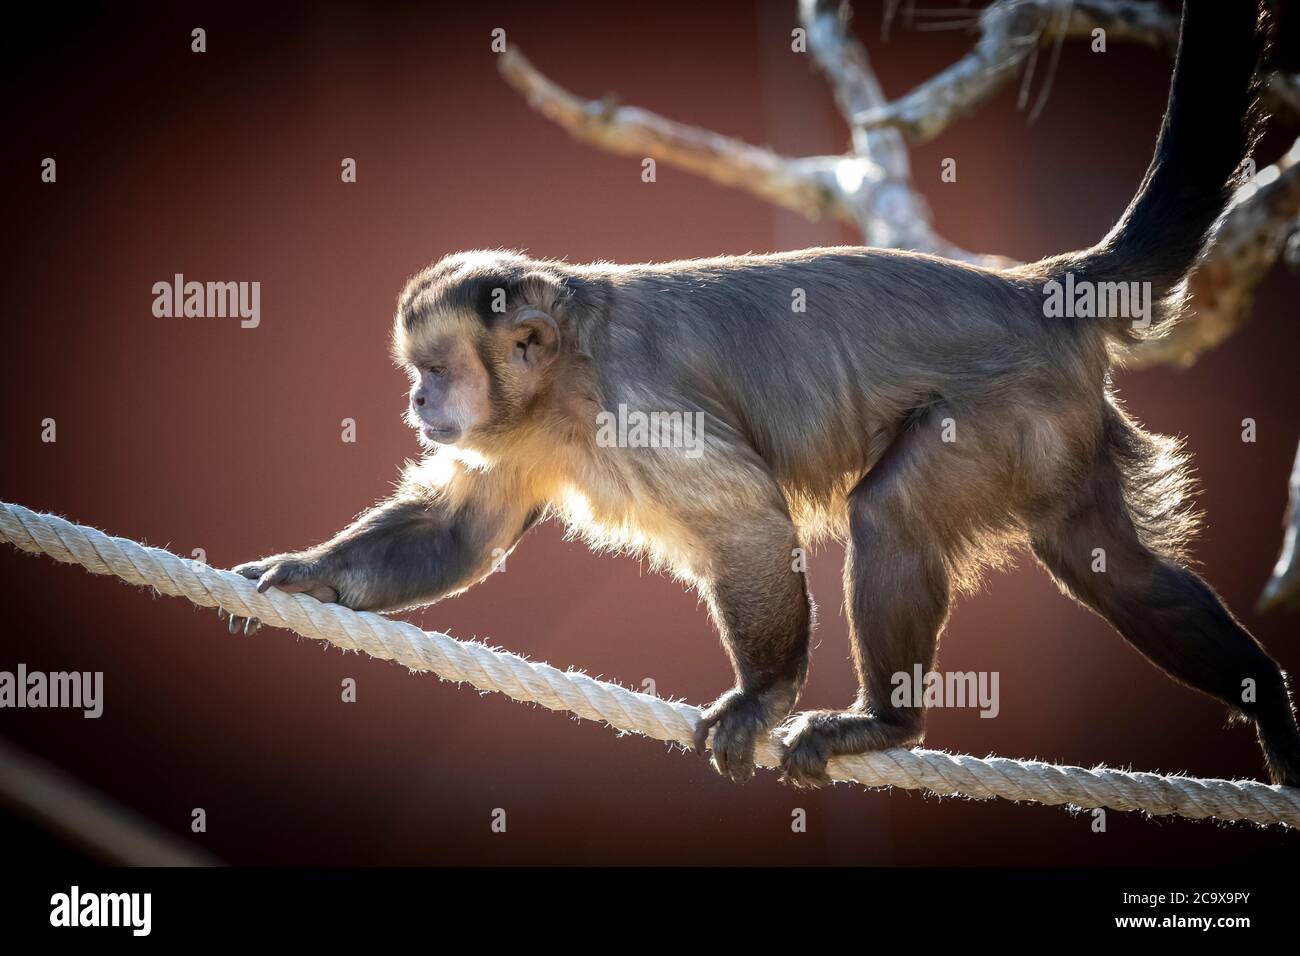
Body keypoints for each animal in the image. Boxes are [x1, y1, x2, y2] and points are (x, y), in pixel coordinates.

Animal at [233, 0, 1300, 788]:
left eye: (435, 370)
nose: (419, 405)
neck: (564, 375)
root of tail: (1034, 287)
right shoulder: (519, 433)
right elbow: (460, 536)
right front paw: (305, 576)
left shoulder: (634, 405)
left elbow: (747, 522)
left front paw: (765, 696)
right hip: (1060, 431)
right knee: (1112, 568)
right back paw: (1266, 696)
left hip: (1013, 411)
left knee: (893, 510)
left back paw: (886, 722)